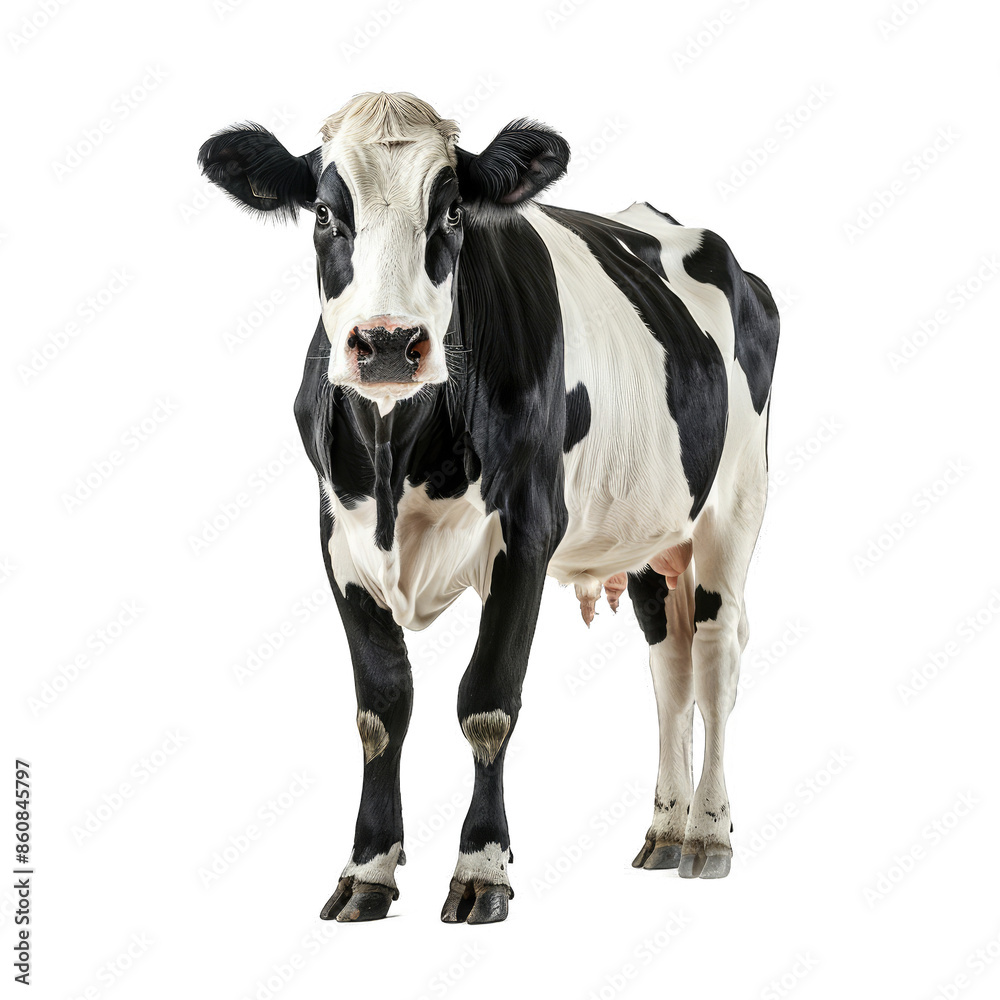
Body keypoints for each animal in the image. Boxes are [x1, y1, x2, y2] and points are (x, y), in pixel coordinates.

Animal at [198, 91, 779, 924]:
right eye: (325, 212)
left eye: (451, 214)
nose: (386, 343)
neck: (397, 456)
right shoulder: (338, 546)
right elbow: (380, 710)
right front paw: (367, 871)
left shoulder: (526, 536)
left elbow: (487, 703)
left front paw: (481, 870)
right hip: (647, 535)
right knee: (667, 668)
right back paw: (665, 834)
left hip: (732, 511)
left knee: (714, 660)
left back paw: (707, 835)